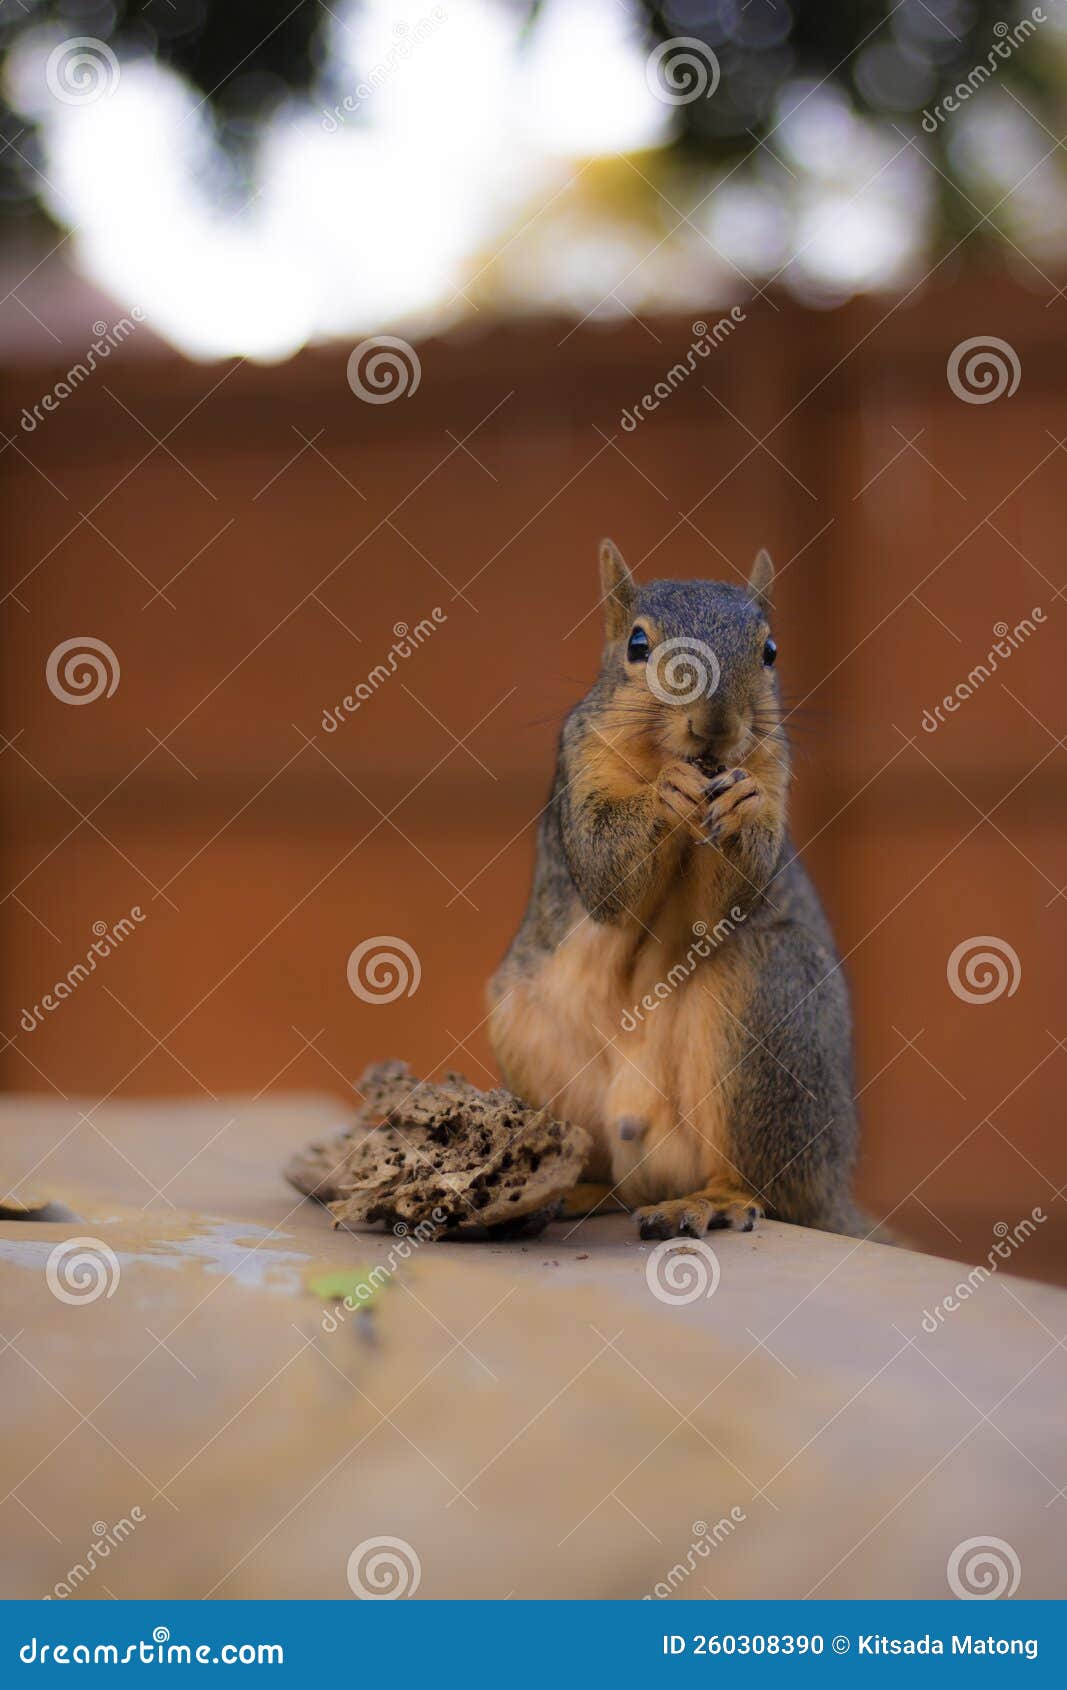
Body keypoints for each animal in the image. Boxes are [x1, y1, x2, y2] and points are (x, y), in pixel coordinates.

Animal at [487, 537, 874, 1241]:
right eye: (638, 645)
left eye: (770, 650)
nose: (716, 724)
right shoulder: (583, 759)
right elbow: (604, 873)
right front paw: (665, 795)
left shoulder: (774, 768)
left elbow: (725, 904)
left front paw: (740, 809)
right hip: (529, 1035)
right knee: (607, 1174)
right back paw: (573, 1189)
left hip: (767, 1004)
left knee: (758, 1183)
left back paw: (713, 1201)